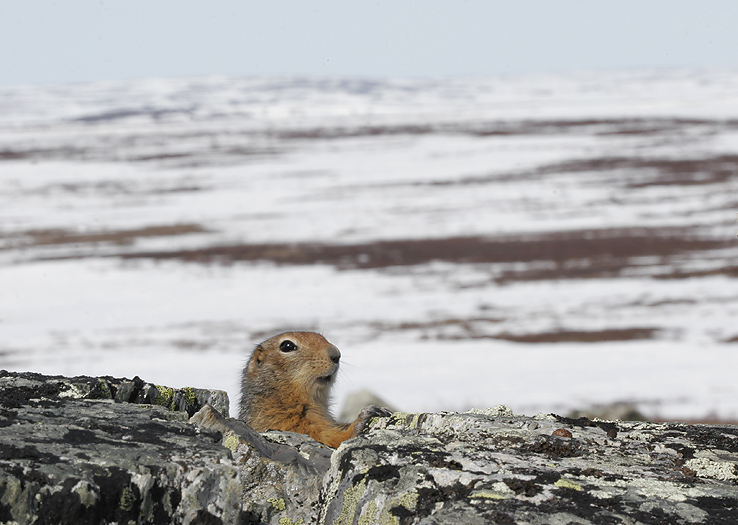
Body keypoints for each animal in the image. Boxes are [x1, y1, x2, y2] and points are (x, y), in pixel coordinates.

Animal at [238, 331, 391, 448]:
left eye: (322, 337)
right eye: (287, 346)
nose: (336, 354)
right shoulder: (281, 420)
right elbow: (324, 436)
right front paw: (364, 417)